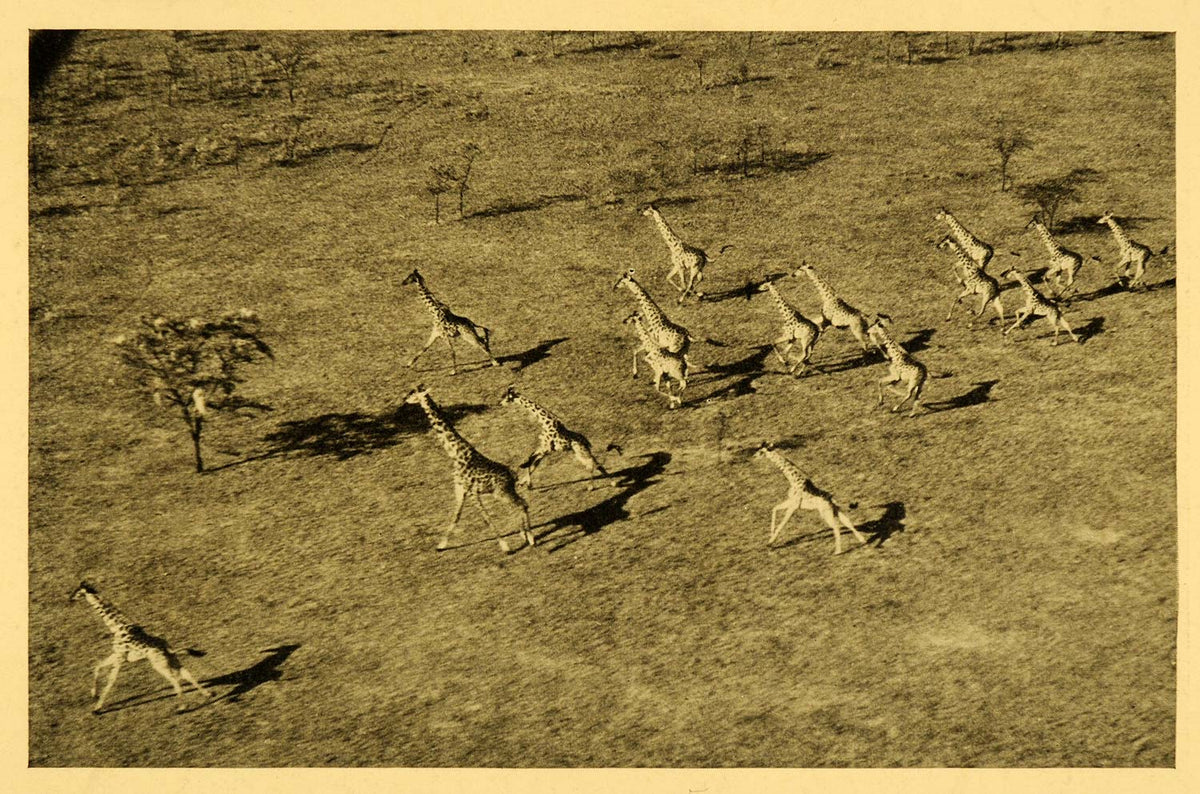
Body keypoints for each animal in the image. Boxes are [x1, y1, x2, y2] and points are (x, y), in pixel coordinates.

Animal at [70, 582, 212, 714]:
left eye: (77, 592)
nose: (70, 598)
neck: (116, 626)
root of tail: (168, 649)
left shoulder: (119, 657)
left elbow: (110, 680)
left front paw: (97, 708)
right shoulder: (117, 655)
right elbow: (97, 666)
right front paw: (94, 694)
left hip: (159, 665)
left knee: (175, 680)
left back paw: (182, 708)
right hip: (172, 660)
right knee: (186, 674)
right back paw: (208, 694)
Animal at [404, 385, 533, 552]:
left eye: (414, 393)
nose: (405, 399)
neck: (454, 453)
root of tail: (513, 475)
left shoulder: (472, 492)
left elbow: (486, 517)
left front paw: (505, 546)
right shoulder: (460, 490)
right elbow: (456, 516)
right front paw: (441, 545)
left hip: (501, 493)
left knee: (520, 505)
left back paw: (530, 537)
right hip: (503, 492)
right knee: (522, 504)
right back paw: (525, 535)